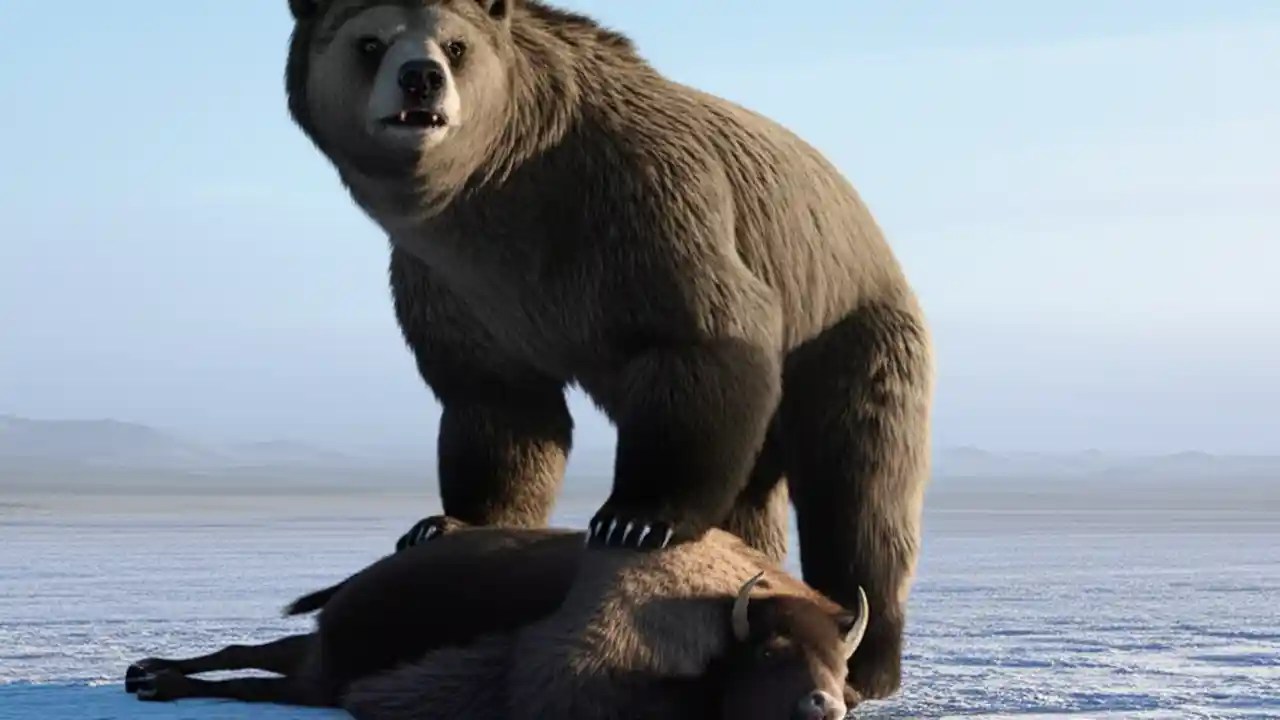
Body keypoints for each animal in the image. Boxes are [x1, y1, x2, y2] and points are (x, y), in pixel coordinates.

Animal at [282, 0, 934, 701]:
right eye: (370, 42)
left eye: (455, 46)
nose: (420, 80)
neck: (498, 197)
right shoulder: (454, 287)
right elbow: (497, 409)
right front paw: (445, 523)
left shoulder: (644, 209)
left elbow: (700, 338)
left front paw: (636, 520)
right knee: (756, 489)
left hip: (847, 331)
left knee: (861, 484)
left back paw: (868, 659)